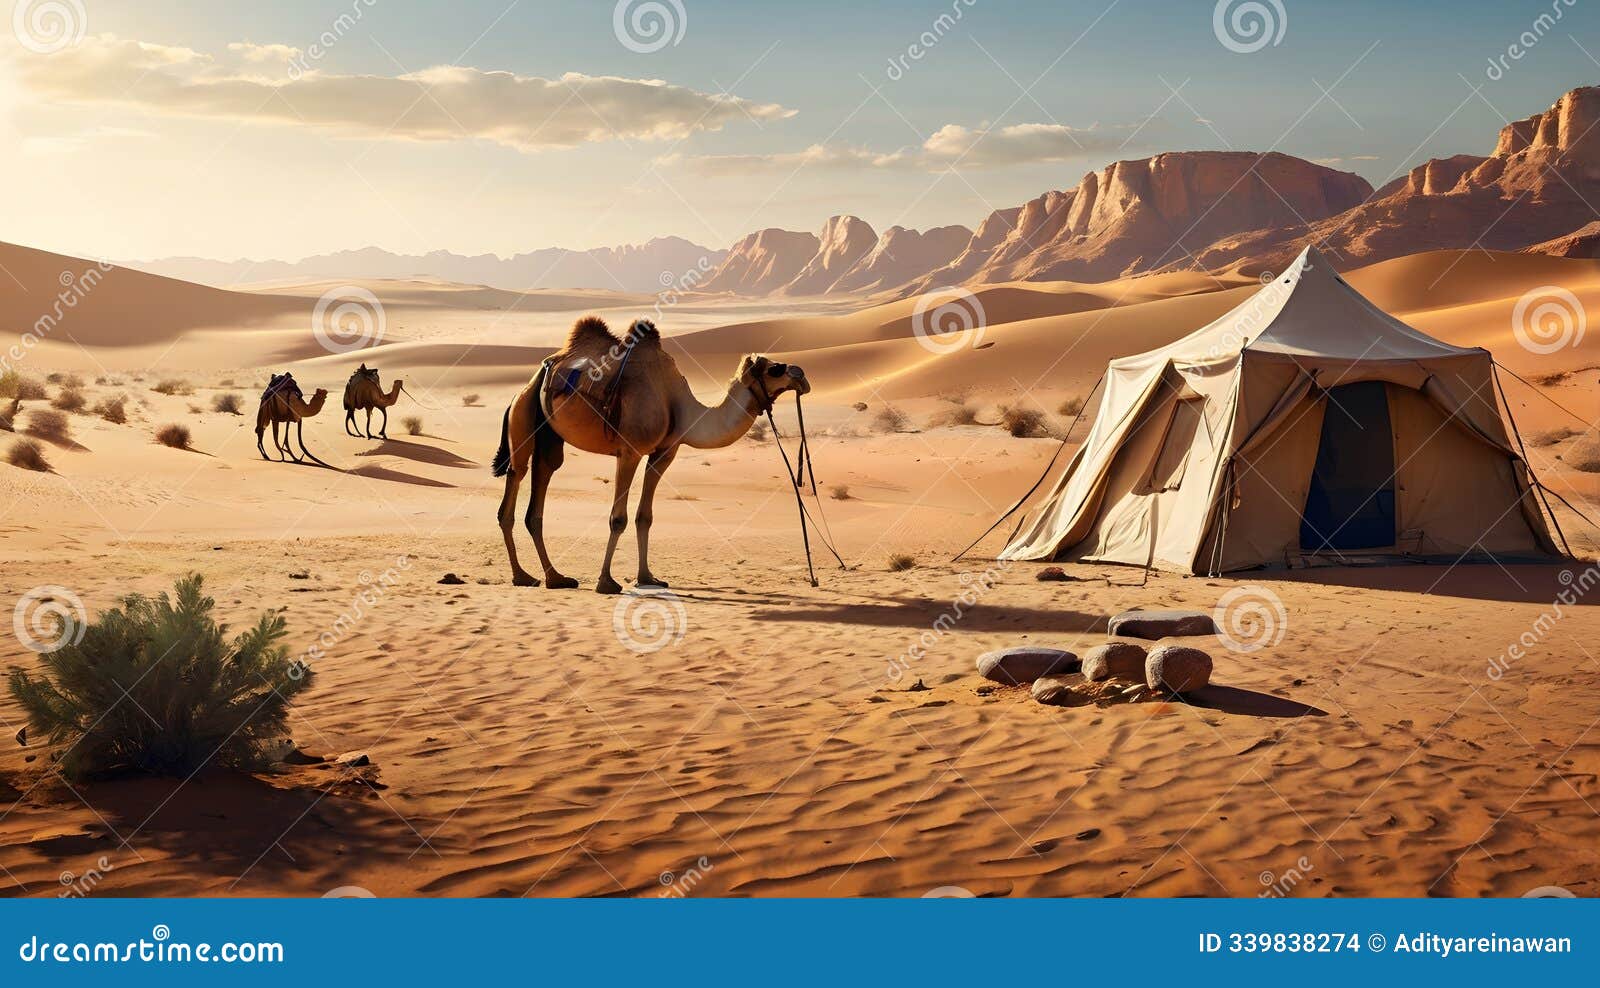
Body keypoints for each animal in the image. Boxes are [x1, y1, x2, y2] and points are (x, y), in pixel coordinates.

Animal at [492, 316, 809, 593]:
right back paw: (522, 576)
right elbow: (618, 519)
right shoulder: (630, 451)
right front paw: (606, 582)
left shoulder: (664, 453)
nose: (802, 375)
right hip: (523, 413)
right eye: (775, 369)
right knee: (516, 476)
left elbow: (645, 517)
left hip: (549, 434)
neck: (677, 404)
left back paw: (555, 578)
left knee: (541, 484)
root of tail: (532, 379)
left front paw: (647, 577)